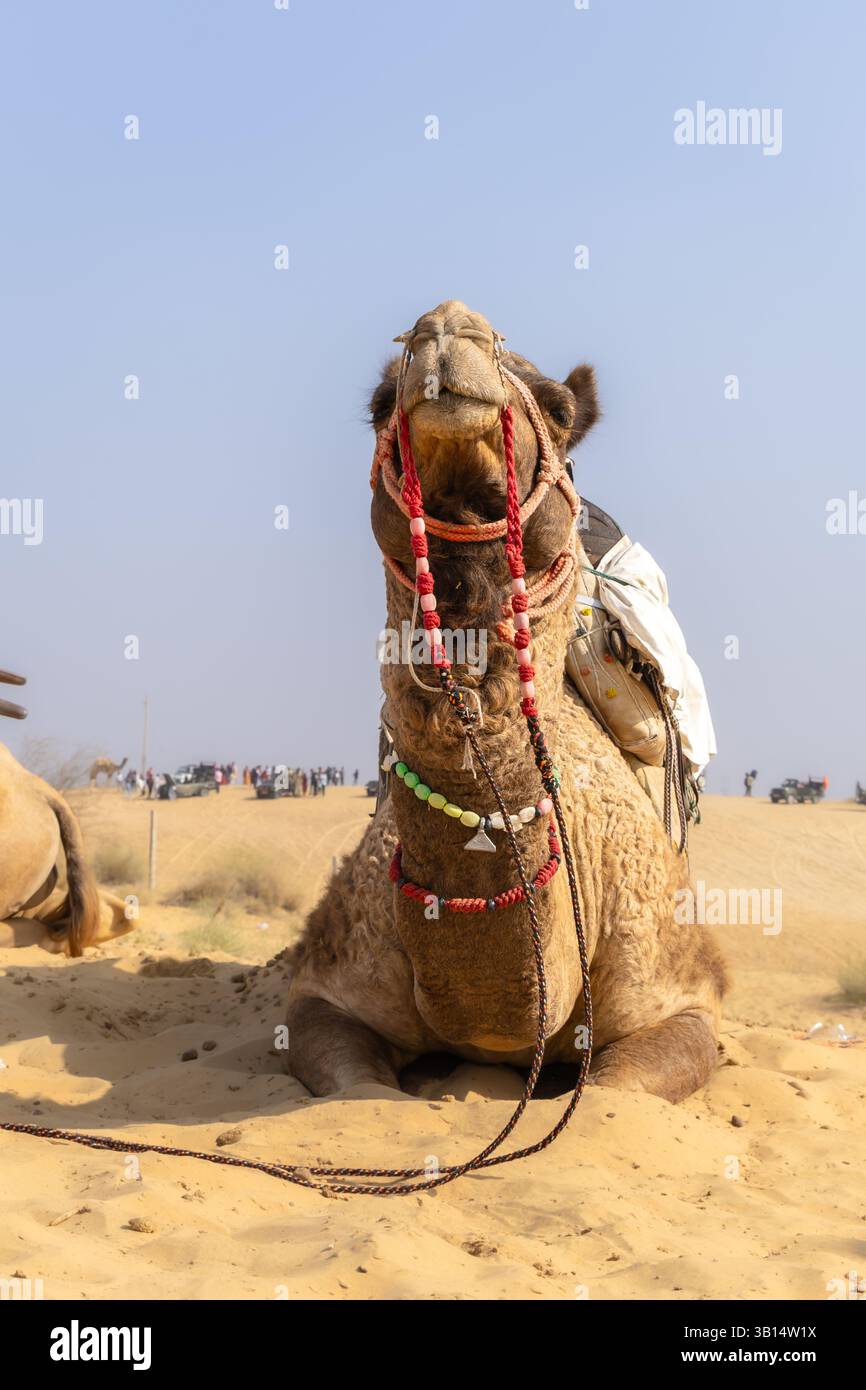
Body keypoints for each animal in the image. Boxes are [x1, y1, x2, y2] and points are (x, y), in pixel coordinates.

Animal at [286, 301, 726, 1103]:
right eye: (378, 404)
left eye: (558, 407)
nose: (447, 325)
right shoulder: (325, 987)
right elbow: (358, 1087)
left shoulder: (680, 995)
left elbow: (615, 1092)